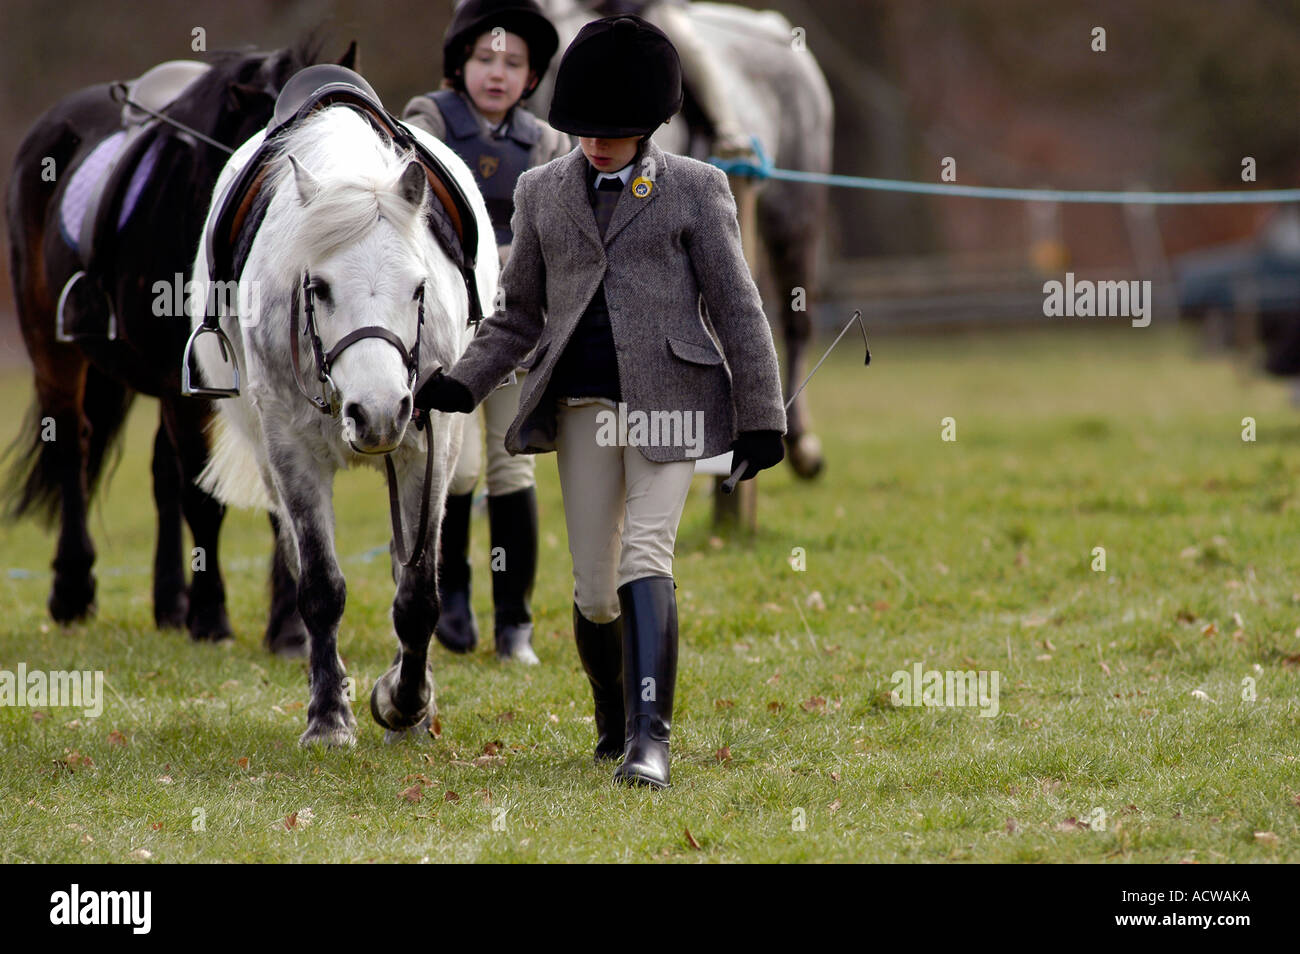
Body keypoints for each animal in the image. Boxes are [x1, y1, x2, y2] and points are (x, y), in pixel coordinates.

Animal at [4, 41, 352, 653]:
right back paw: (72, 591)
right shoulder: (184, 386)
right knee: (72, 446)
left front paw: (287, 627)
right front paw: (212, 618)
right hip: (53, 347)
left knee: (159, 473)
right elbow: (204, 498)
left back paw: (169, 603)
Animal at [189, 94, 498, 746]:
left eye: (419, 288)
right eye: (320, 288)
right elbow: (321, 587)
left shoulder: (428, 446)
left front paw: (405, 704)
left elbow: (418, 590)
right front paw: (330, 717)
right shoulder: (289, 451)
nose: (377, 412)